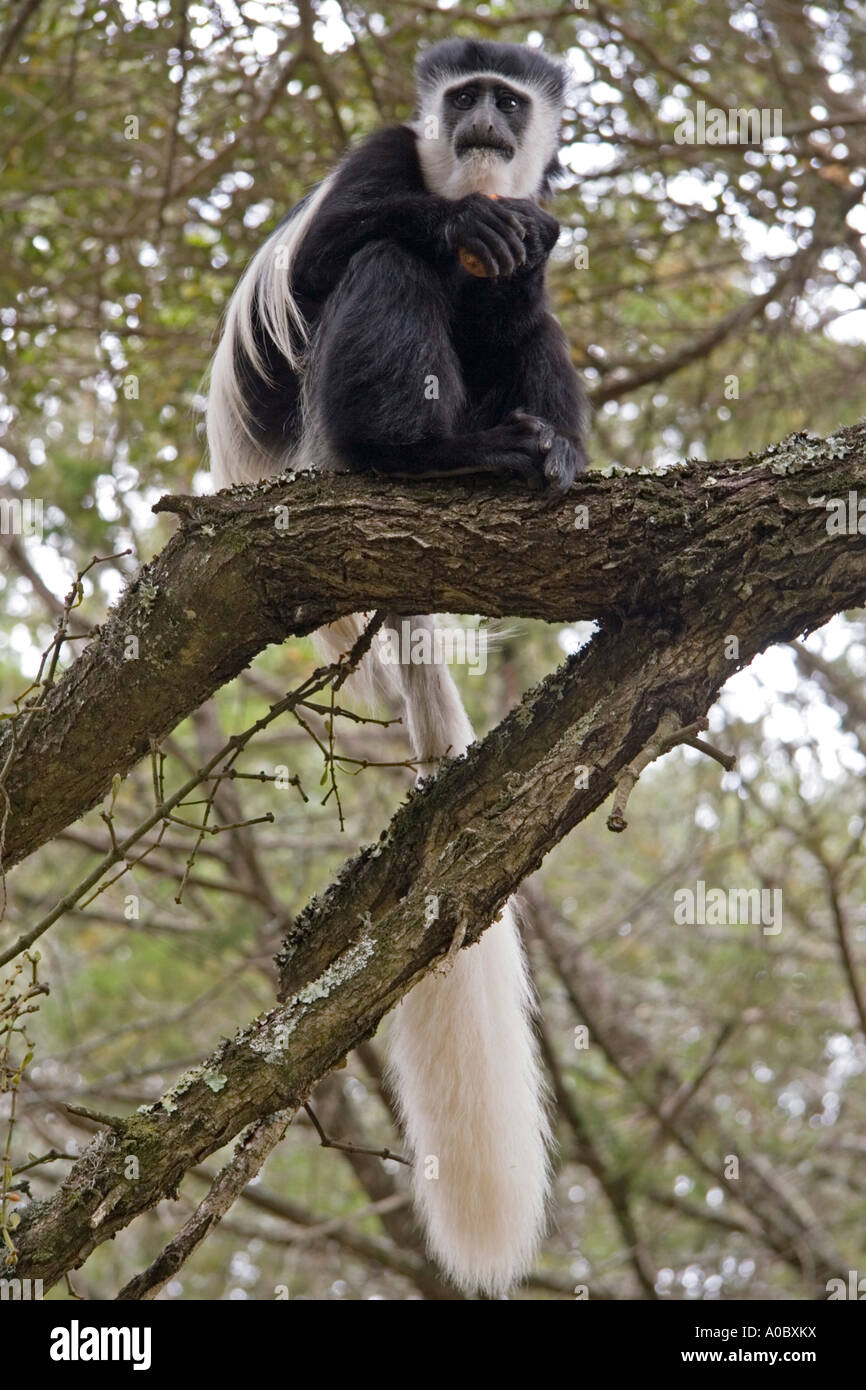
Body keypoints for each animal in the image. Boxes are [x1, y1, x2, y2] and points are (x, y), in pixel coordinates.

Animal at [207, 38, 587, 1296]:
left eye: (507, 102)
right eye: (462, 96)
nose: (481, 123)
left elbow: (531, 277)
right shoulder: (378, 158)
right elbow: (340, 247)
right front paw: (456, 225)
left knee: (525, 323)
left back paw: (540, 457)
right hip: (323, 434)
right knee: (381, 267)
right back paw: (425, 454)